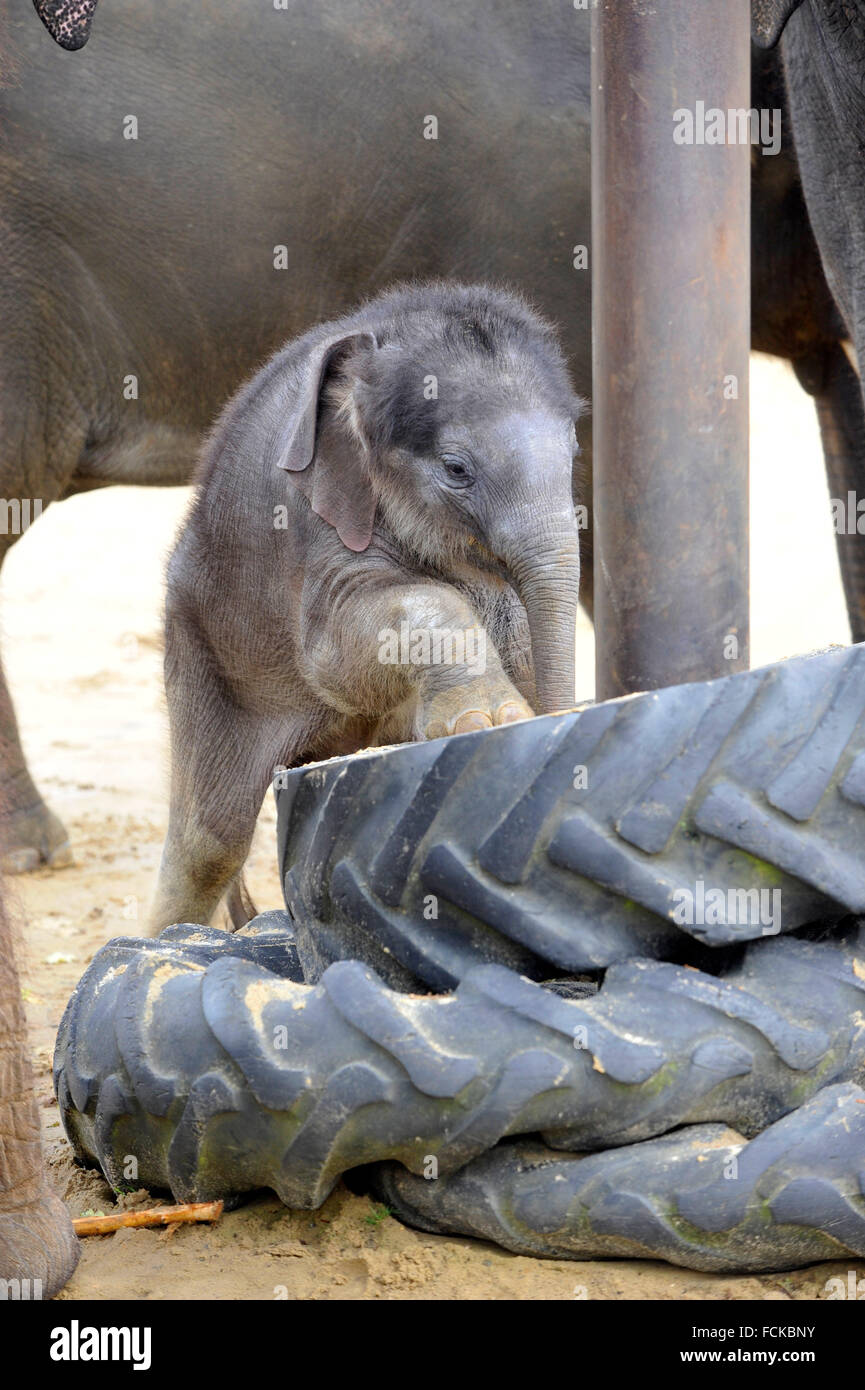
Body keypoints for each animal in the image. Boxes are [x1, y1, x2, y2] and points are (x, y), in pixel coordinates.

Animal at [150, 283, 582, 932]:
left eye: (576, 450)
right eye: (457, 469)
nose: (556, 720)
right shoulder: (315, 520)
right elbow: (334, 653)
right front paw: (492, 721)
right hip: (202, 646)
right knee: (209, 842)